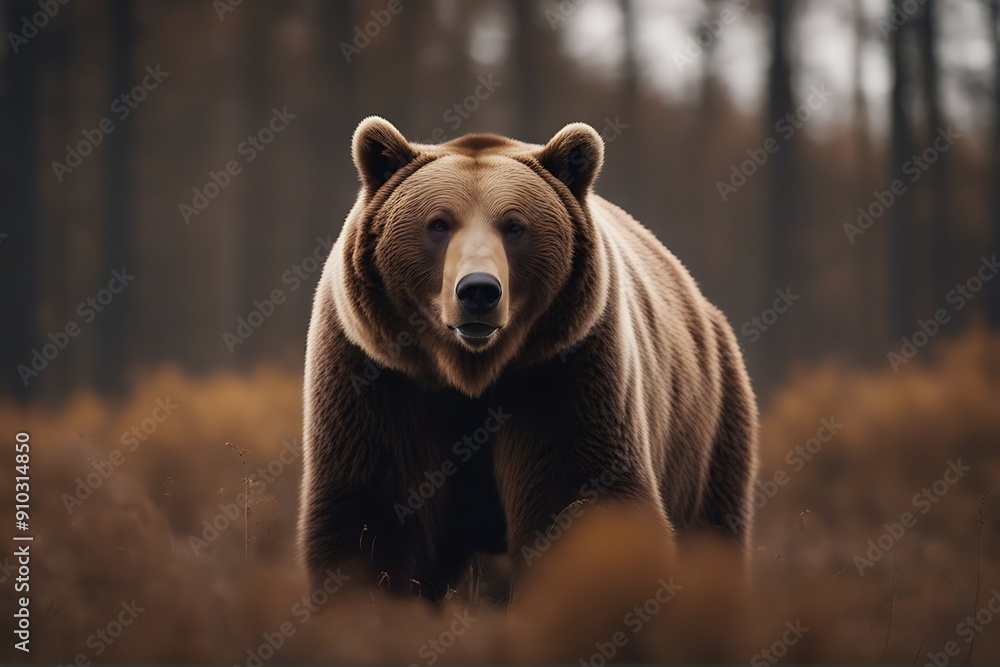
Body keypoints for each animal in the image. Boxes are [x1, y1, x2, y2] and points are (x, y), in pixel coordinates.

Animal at [298, 116, 758, 599]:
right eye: (439, 223)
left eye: (514, 225)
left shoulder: (566, 369)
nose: (478, 290)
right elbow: (369, 513)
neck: (471, 371)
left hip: (707, 433)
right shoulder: (378, 375)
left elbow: (580, 495)